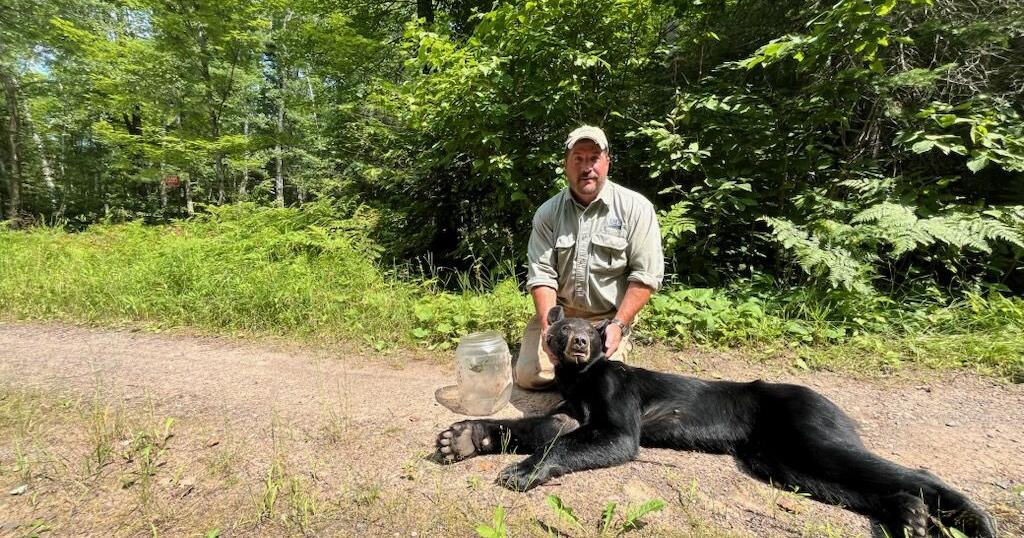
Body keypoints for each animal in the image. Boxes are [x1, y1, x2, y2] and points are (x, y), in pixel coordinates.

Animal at [434, 306, 996, 537]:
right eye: (561, 329)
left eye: (590, 335)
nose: (574, 342)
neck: (581, 379)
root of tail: (829, 401)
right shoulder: (574, 408)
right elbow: (549, 428)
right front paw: (461, 438)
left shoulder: (617, 406)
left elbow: (586, 440)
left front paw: (521, 471)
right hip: (778, 461)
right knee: (853, 485)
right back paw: (910, 517)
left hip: (807, 428)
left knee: (906, 471)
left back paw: (974, 521)